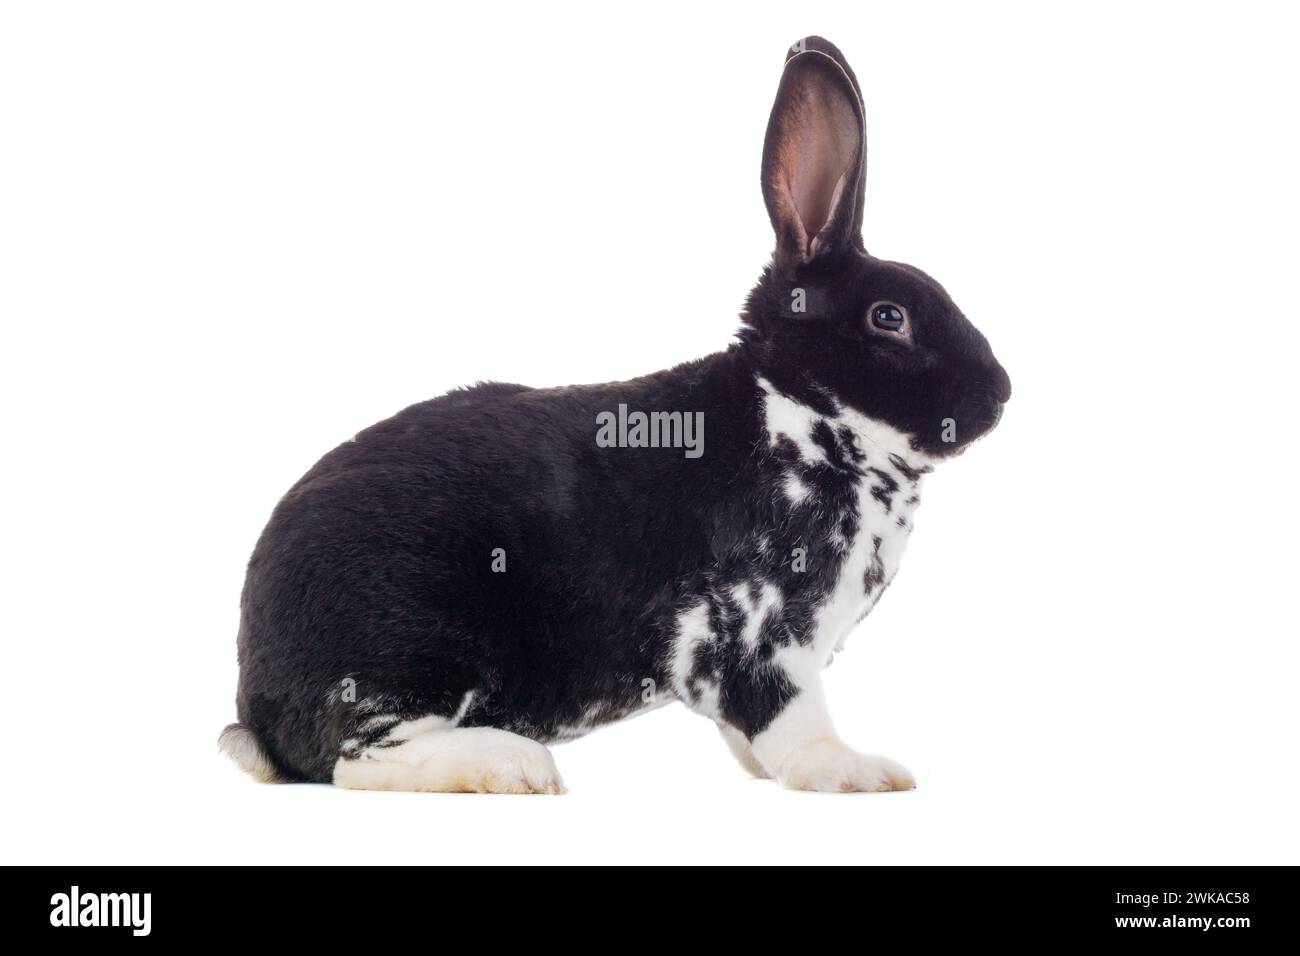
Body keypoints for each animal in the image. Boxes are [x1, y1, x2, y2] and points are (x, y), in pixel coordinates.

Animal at [219, 35, 1010, 794]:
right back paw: (514, 767)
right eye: (889, 318)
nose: (1000, 394)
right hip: (414, 641)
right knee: (358, 758)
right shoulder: (753, 630)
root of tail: (259, 711)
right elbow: (789, 717)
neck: (802, 411)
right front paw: (855, 773)